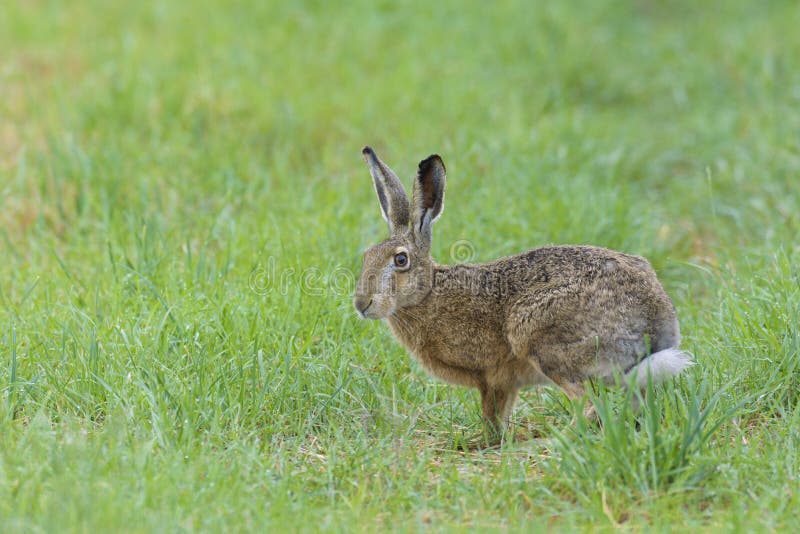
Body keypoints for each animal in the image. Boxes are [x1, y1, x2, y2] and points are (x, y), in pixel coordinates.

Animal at [353, 146, 693, 436]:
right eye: (366, 256)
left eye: (400, 260)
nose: (361, 304)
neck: (427, 293)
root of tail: (656, 323)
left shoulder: (491, 375)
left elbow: (492, 415)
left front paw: (486, 443)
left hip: (540, 339)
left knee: (589, 403)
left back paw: (556, 440)